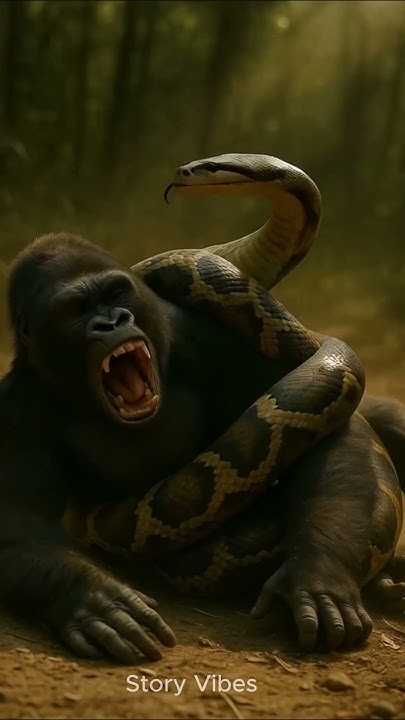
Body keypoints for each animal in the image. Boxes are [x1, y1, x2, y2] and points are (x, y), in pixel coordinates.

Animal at [0, 232, 403, 664]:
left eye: (115, 293)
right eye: (75, 309)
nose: (111, 322)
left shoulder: (212, 343)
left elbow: (345, 436)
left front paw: (319, 574)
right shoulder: (16, 411)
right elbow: (18, 521)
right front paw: (92, 595)